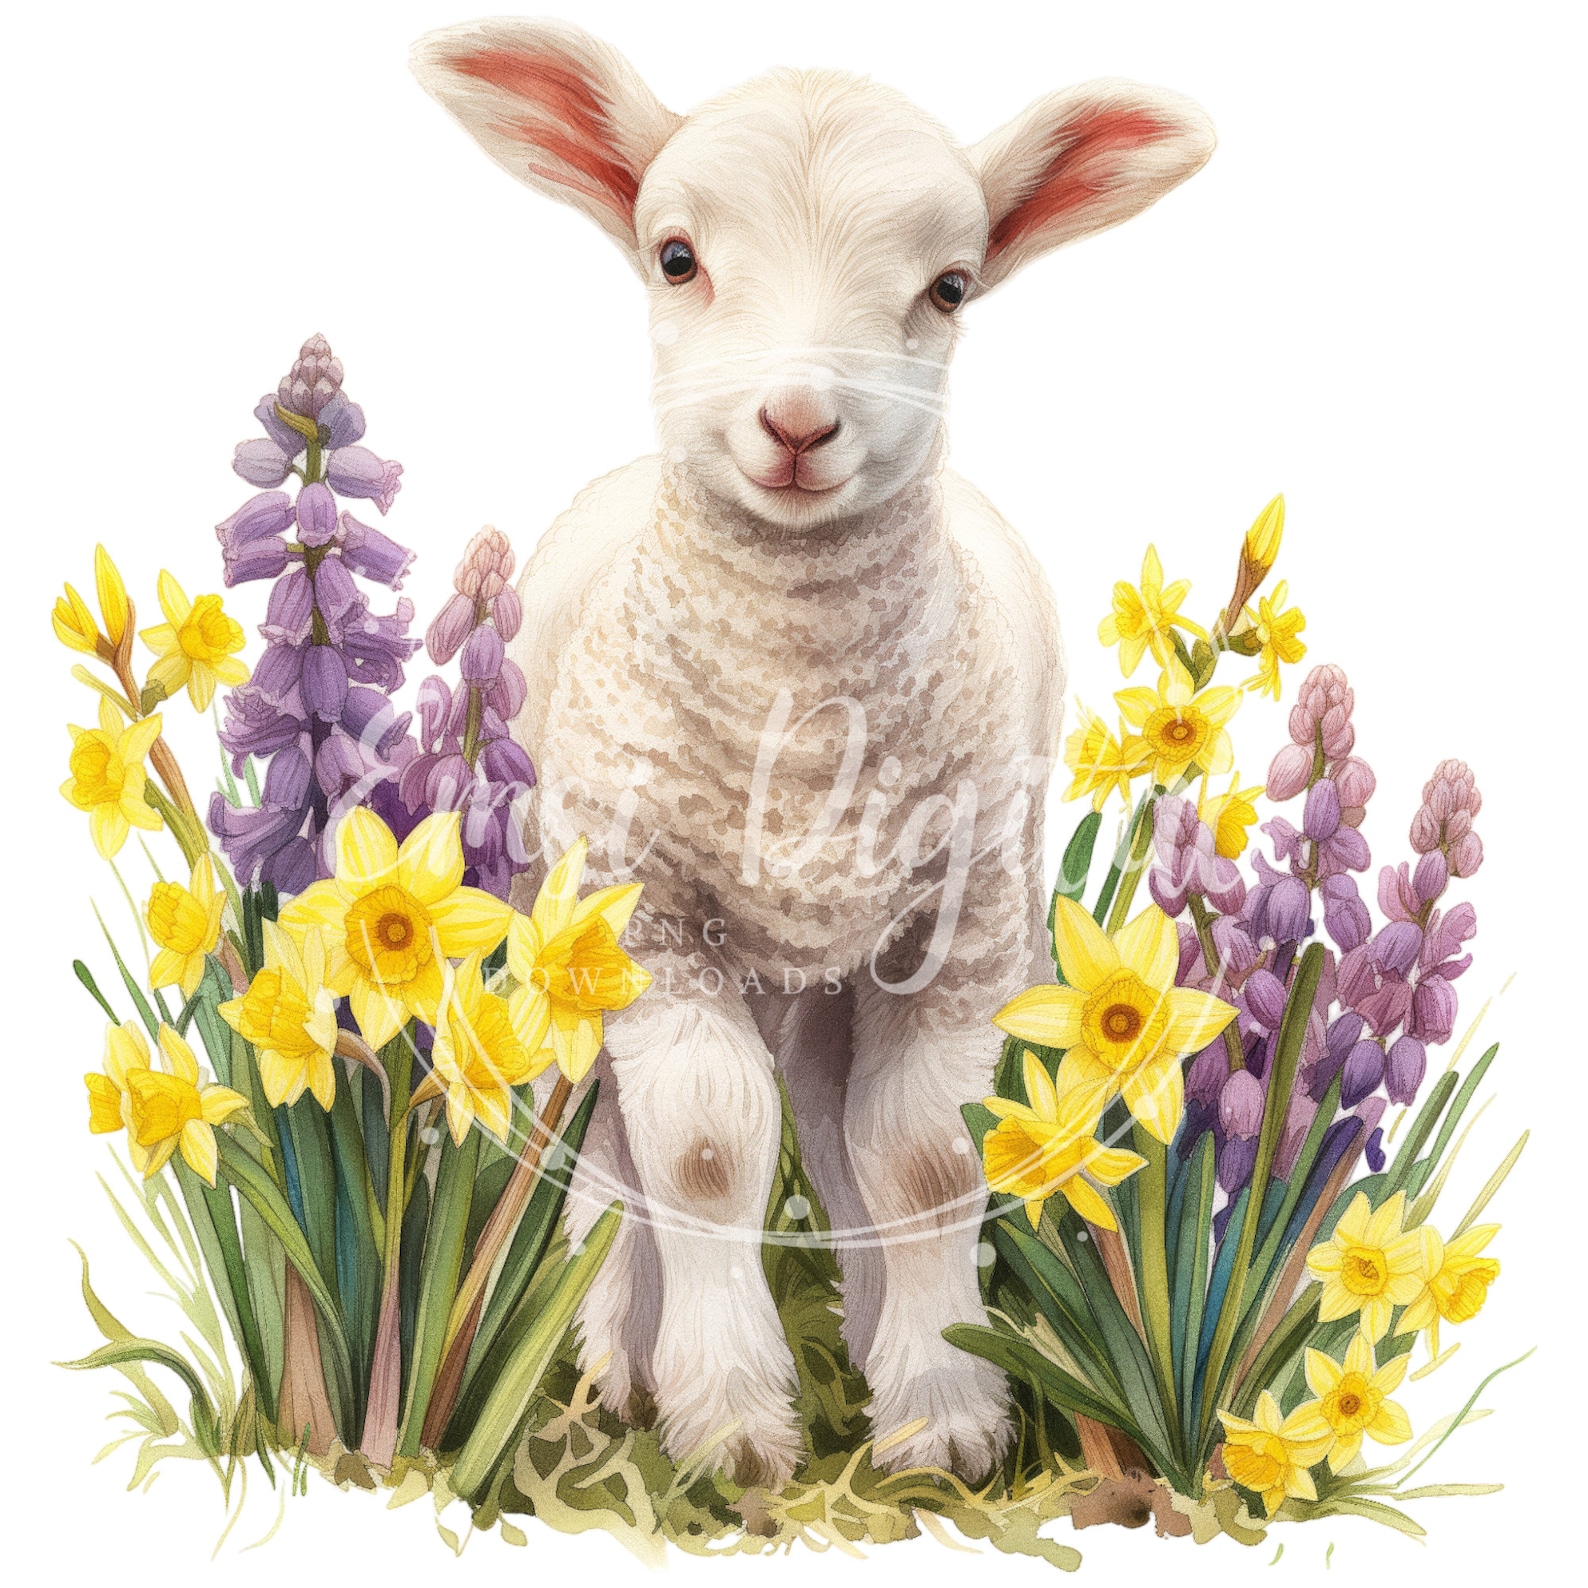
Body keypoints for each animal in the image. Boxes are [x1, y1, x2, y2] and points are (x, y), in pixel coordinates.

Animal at [412, 15, 1213, 1487]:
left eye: (949, 288)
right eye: (675, 256)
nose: (795, 422)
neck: (797, 725)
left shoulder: (966, 931)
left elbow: (923, 1167)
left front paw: (944, 1416)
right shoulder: (649, 915)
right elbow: (705, 1155)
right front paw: (728, 1426)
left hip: (838, 971)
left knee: (838, 1141)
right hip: (573, 935)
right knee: (610, 1149)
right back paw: (610, 1370)